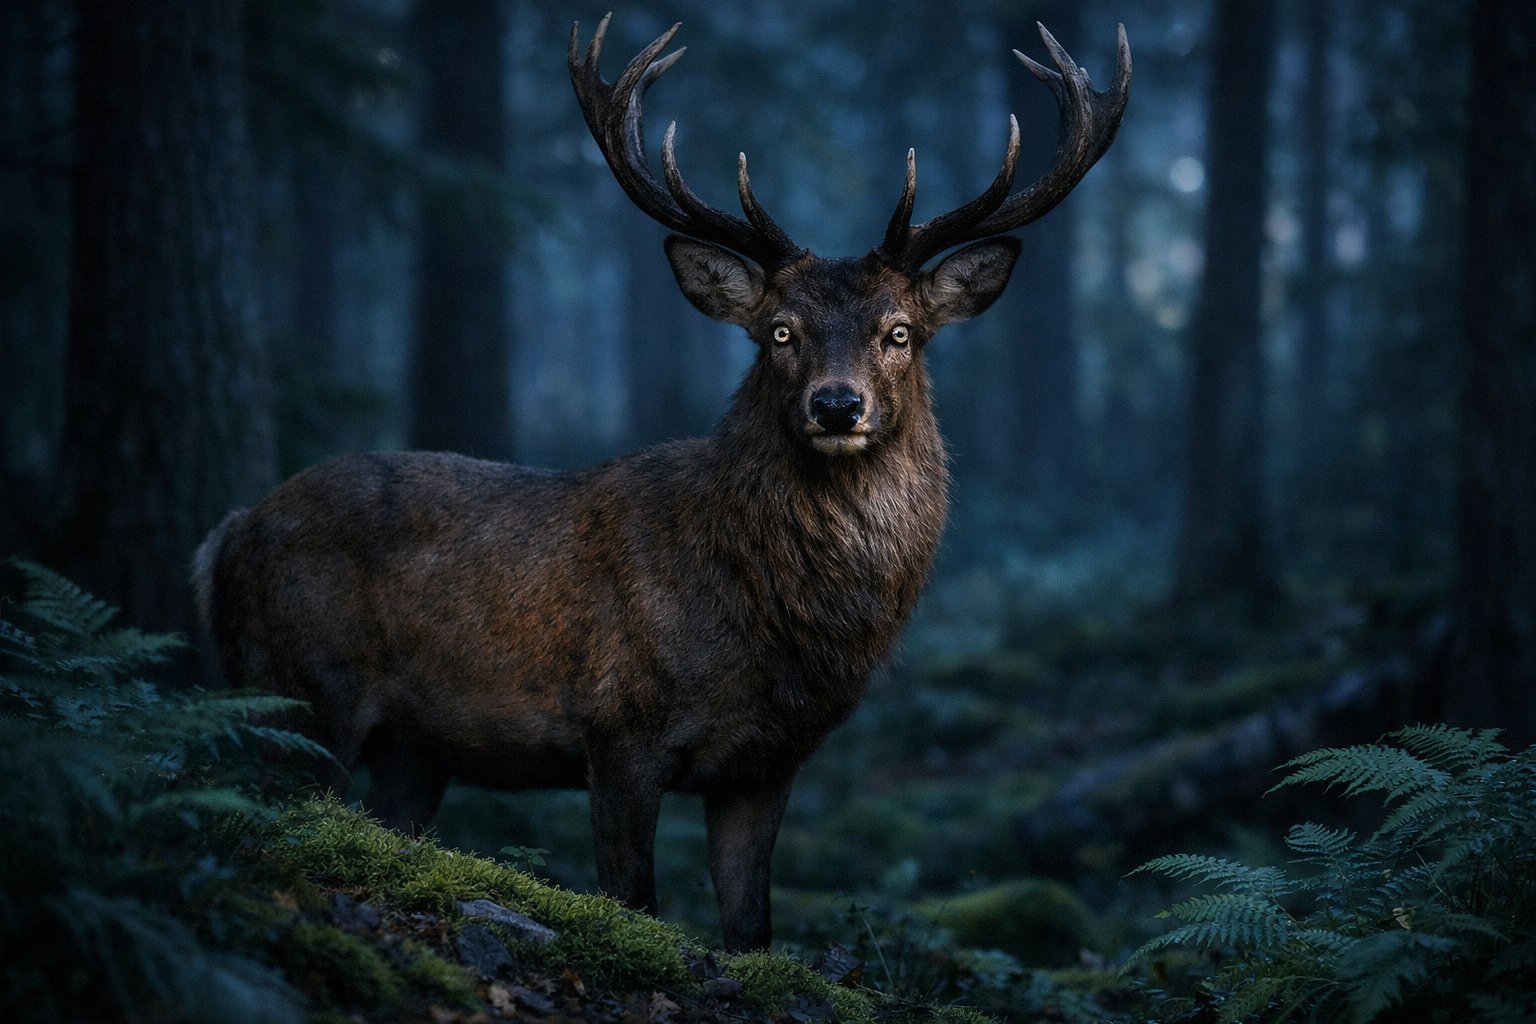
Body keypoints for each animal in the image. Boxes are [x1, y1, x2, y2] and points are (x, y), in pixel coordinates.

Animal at [192, 15, 1130, 952]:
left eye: (900, 332)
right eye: (779, 330)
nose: (837, 404)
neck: (771, 626)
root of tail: (225, 533)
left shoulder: (766, 762)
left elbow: (751, 927)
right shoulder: (617, 728)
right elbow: (634, 903)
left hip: (411, 749)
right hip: (298, 689)